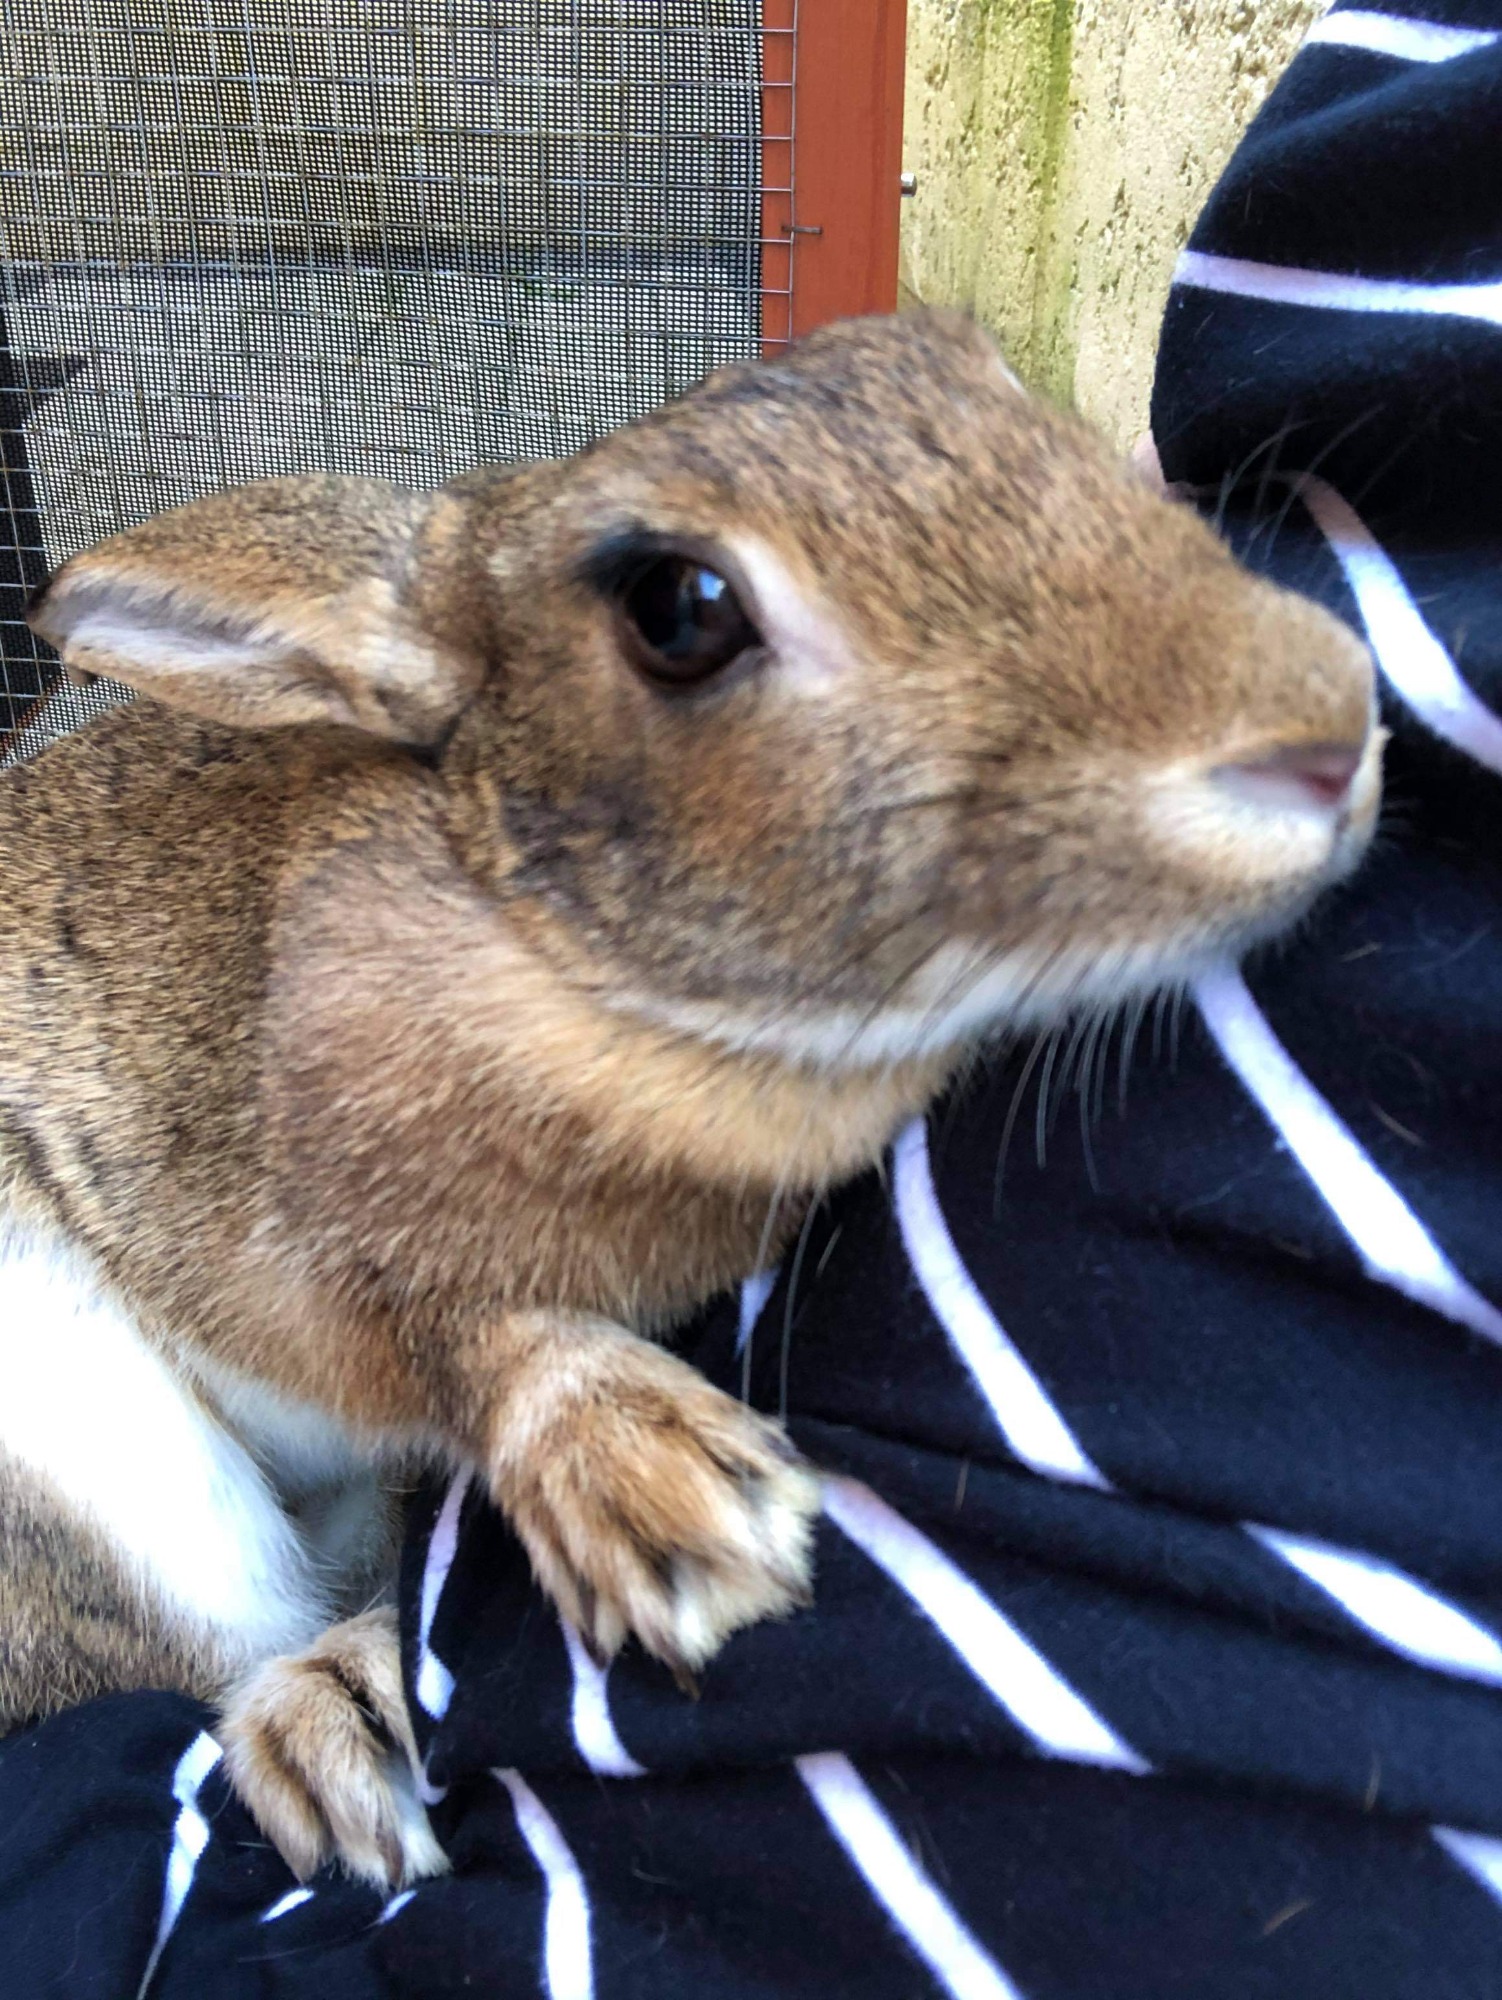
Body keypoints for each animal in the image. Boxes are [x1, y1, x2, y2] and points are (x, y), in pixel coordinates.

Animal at [0, 309, 1381, 1891]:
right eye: (680, 610)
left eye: (975, 373)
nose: (1326, 729)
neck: (571, 956)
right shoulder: (321, 1245)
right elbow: (453, 1333)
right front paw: (670, 1499)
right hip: (78, 1431)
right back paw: (331, 1733)